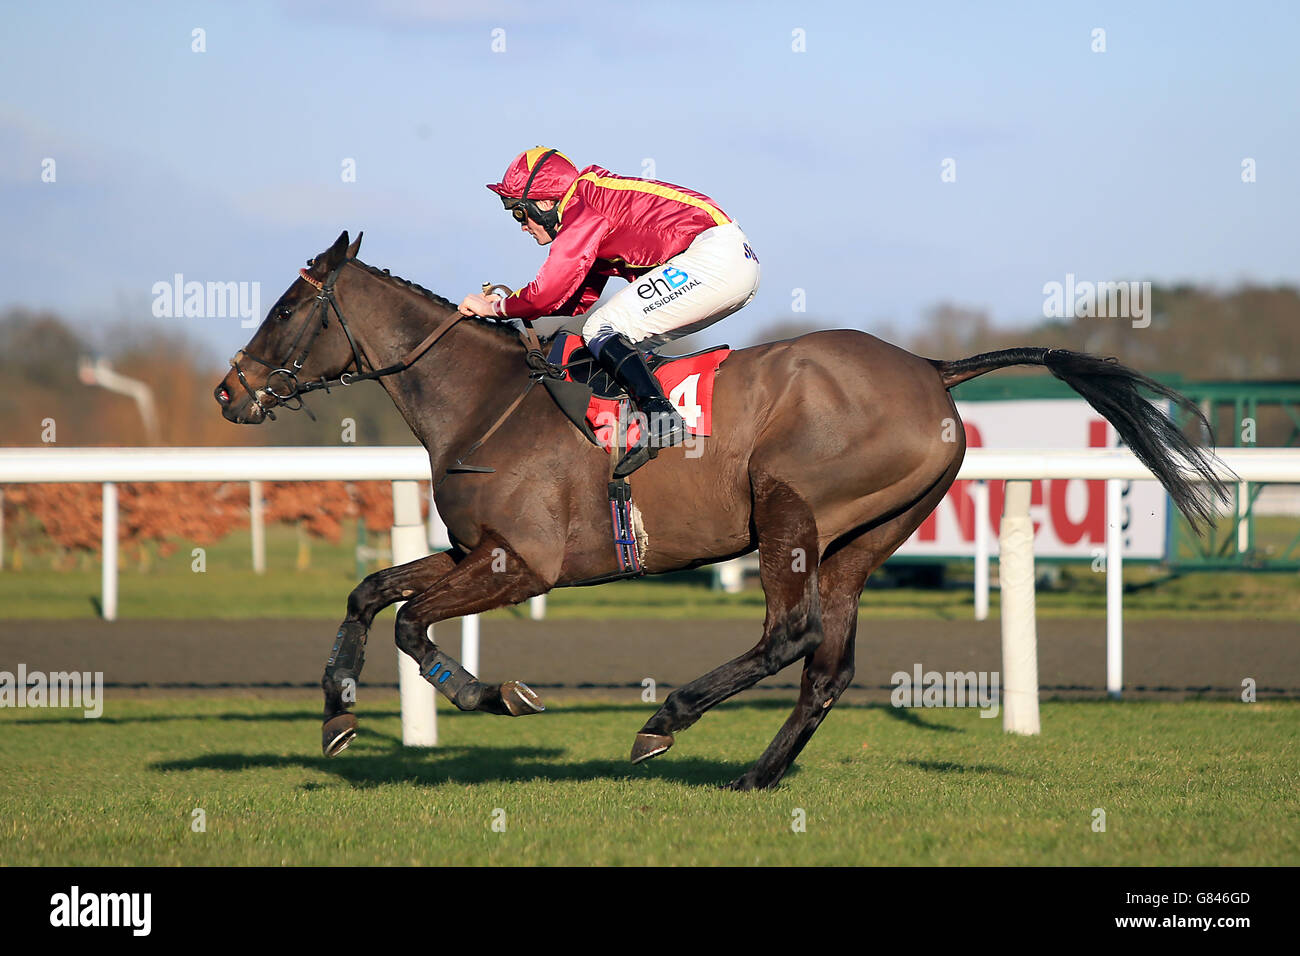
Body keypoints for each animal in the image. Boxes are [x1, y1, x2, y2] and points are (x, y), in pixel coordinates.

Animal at [214, 231, 1227, 790]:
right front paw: (338, 714)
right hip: (861, 538)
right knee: (828, 664)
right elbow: (370, 592)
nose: (230, 391)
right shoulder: (476, 552)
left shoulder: (523, 564)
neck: (484, 402)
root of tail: (931, 370)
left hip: (788, 506)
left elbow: (412, 621)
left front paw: (493, 694)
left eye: (285, 308)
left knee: (790, 635)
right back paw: (756, 775)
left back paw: (668, 718)